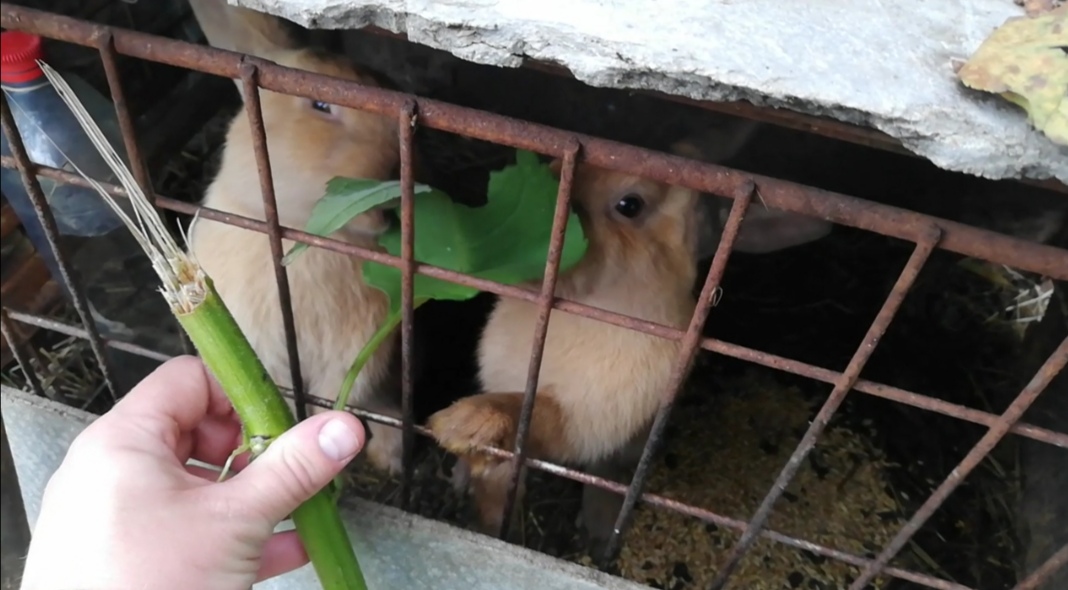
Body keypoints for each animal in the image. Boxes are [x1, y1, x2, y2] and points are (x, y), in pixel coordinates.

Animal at [425, 123, 833, 547]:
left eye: (630, 205)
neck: (582, 305)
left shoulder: (592, 415)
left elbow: (535, 415)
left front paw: (466, 425)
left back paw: (601, 526)